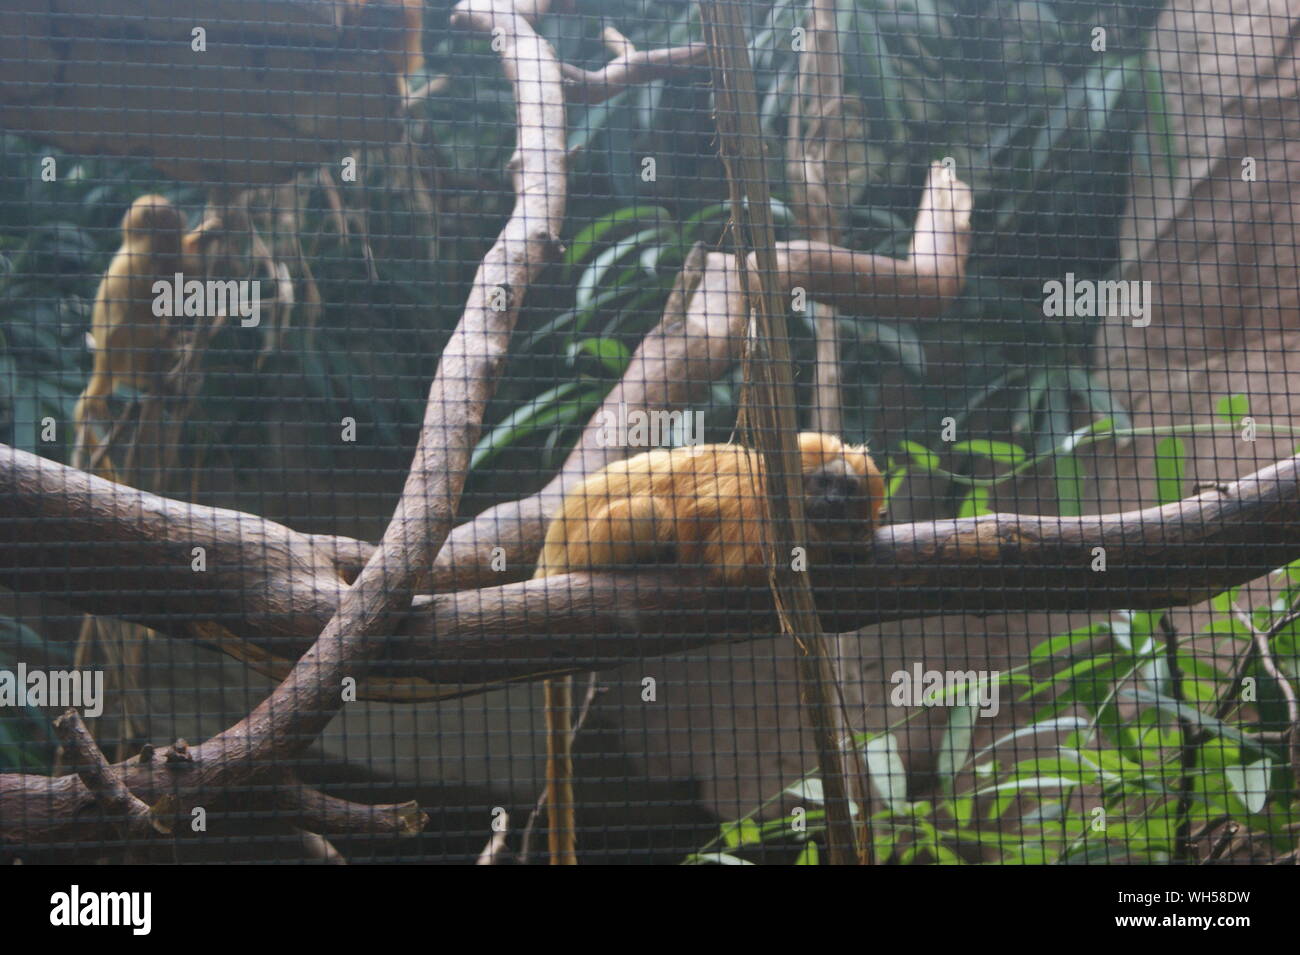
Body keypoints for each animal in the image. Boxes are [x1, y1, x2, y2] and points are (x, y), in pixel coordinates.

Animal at [531, 432, 886, 863]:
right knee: (650, 512)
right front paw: (838, 547)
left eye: (848, 490)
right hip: (591, 543)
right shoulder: (749, 502)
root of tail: (550, 556)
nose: (834, 502)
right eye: (825, 483)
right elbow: (744, 562)